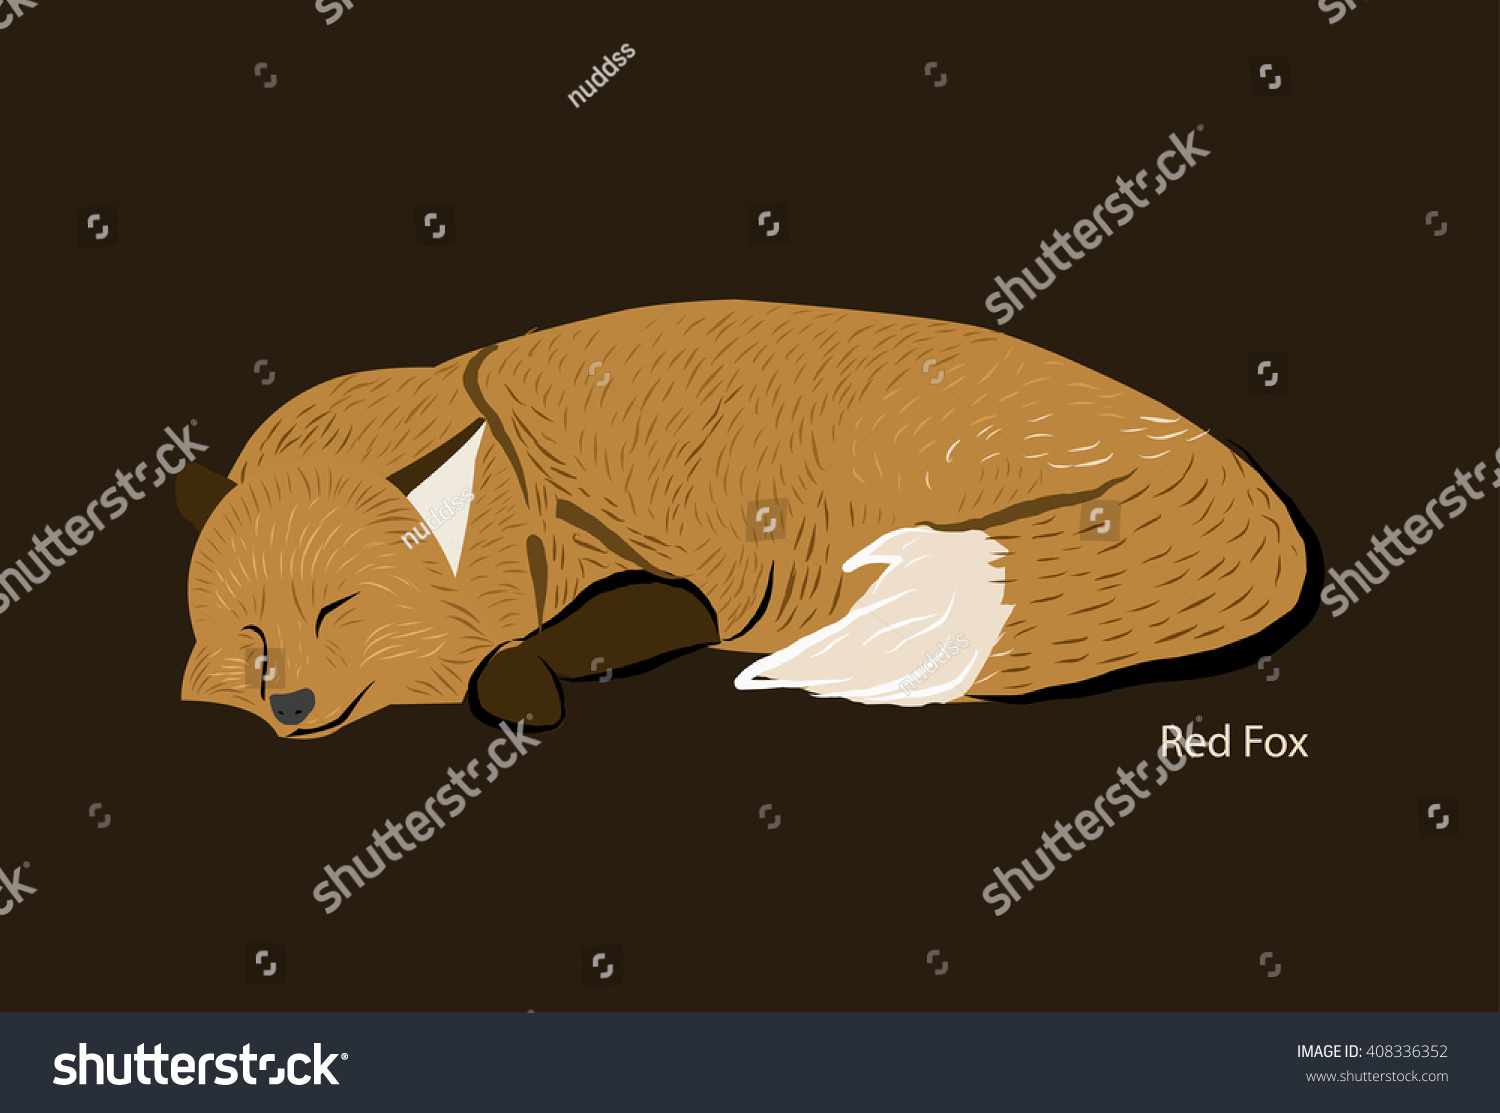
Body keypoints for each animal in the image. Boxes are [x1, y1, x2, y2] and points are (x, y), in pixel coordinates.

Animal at [177, 300, 1316, 738]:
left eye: (339, 611)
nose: (289, 704)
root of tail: (1188, 432)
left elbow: (554, 645)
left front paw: (518, 681)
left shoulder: (688, 576)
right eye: (250, 639)